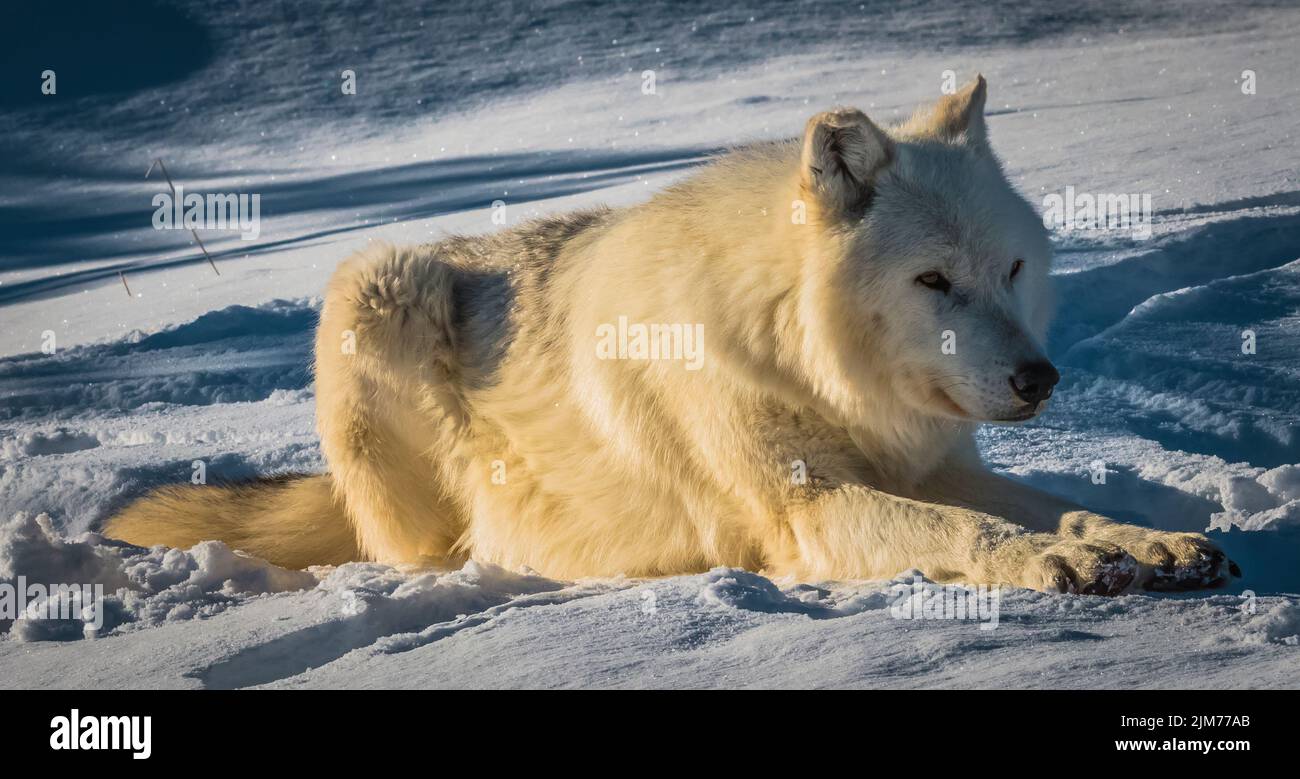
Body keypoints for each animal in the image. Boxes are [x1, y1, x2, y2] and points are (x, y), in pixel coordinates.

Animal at [107, 77, 1237, 594]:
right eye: (932, 281)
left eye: (1009, 271)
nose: (1040, 379)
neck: (809, 368)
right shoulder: (803, 510)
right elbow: (978, 532)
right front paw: (1062, 562)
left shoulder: (937, 463)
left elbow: (1055, 505)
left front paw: (1145, 540)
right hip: (378, 286)